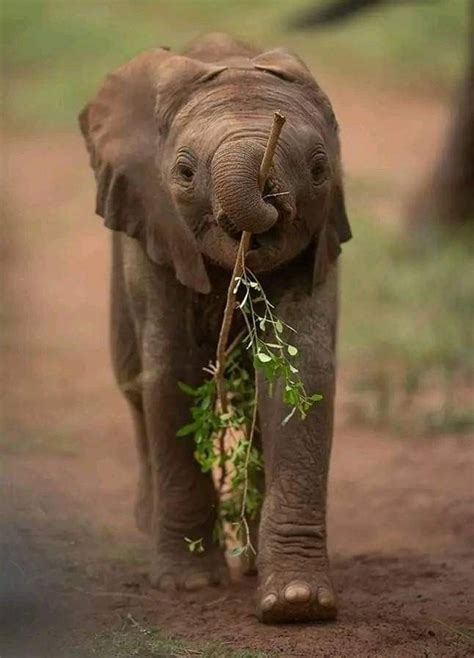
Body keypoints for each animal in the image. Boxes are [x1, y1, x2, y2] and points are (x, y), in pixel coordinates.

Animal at [79, 32, 351, 624]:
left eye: (319, 169)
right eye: (183, 173)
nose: (265, 201)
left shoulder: (319, 242)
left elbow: (301, 373)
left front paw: (297, 605)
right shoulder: (154, 231)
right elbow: (172, 374)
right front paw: (188, 587)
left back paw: (248, 562)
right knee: (133, 381)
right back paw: (149, 525)